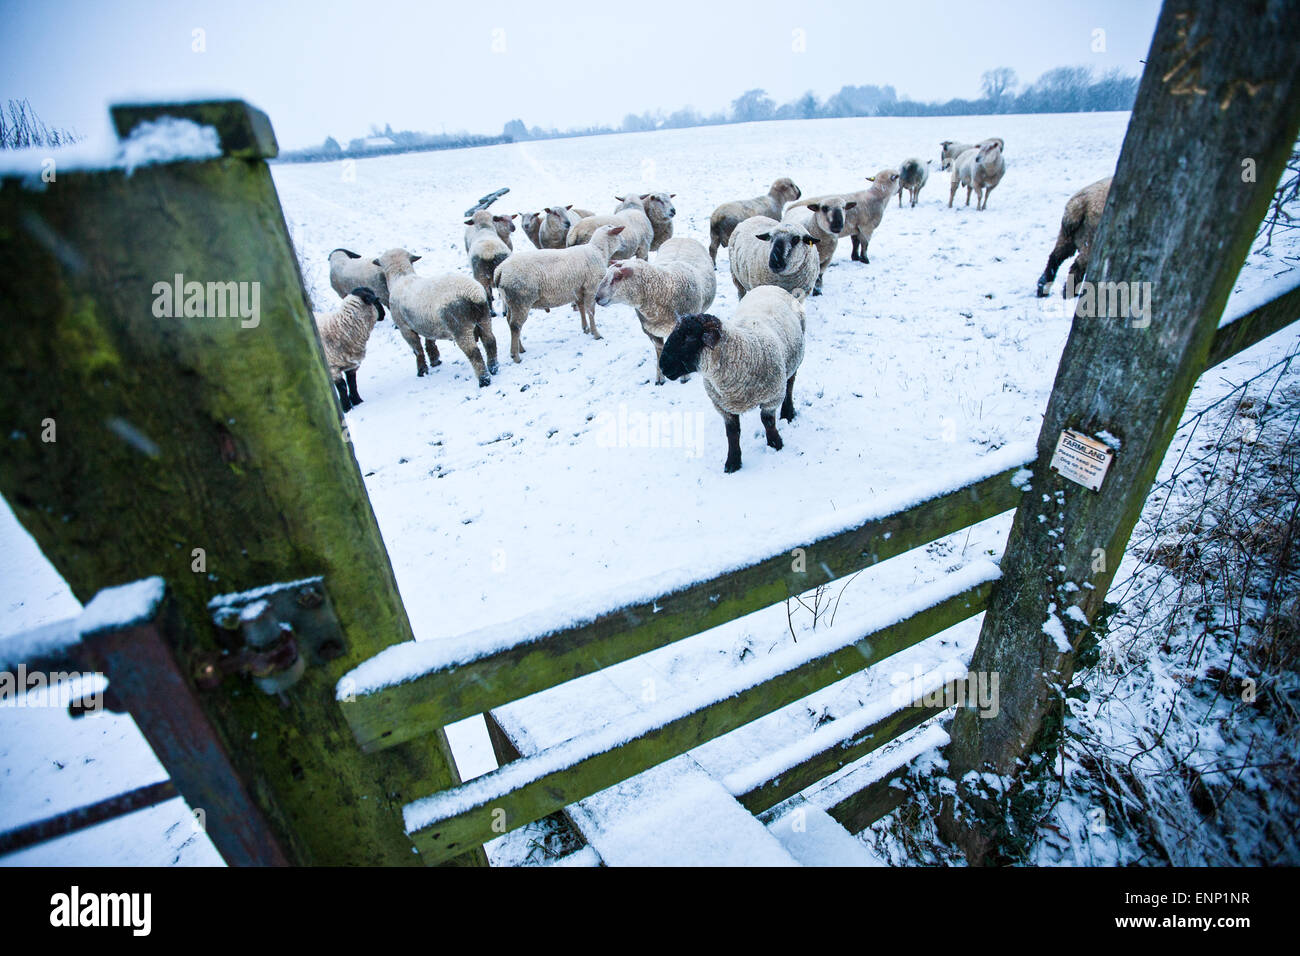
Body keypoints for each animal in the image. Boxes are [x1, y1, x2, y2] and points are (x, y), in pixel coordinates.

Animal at [373, 249, 499, 388]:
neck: (401, 277)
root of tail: (474, 293)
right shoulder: (428, 325)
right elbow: (430, 342)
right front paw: (435, 360)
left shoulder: (405, 328)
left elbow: (417, 350)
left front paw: (421, 370)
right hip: (484, 318)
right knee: (490, 341)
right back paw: (493, 367)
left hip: (460, 327)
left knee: (473, 353)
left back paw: (484, 380)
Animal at [493, 224, 626, 362]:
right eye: (618, 234)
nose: (625, 244)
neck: (598, 251)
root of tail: (499, 270)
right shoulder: (591, 287)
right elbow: (591, 312)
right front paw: (596, 334)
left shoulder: (578, 290)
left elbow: (581, 309)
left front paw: (586, 328)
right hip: (521, 300)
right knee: (515, 326)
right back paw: (515, 356)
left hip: (511, 302)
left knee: (510, 322)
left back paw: (521, 349)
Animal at [594, 237, 716, 384]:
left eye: (617, 277)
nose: (597, 298)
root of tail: (683, 237)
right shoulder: (650, 331)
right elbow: (659, 350)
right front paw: (660, 376)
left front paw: (684, 375)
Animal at [659, 286, 806, 473]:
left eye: (688, 338)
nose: (662, 366)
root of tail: (769, 286)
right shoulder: (723, 406)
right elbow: (732, 433)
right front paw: (733, 462)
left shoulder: (772, 397)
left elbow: (768, 422)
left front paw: (775, 444)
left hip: (795, 361)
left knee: (790, 385)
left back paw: (788, 412)